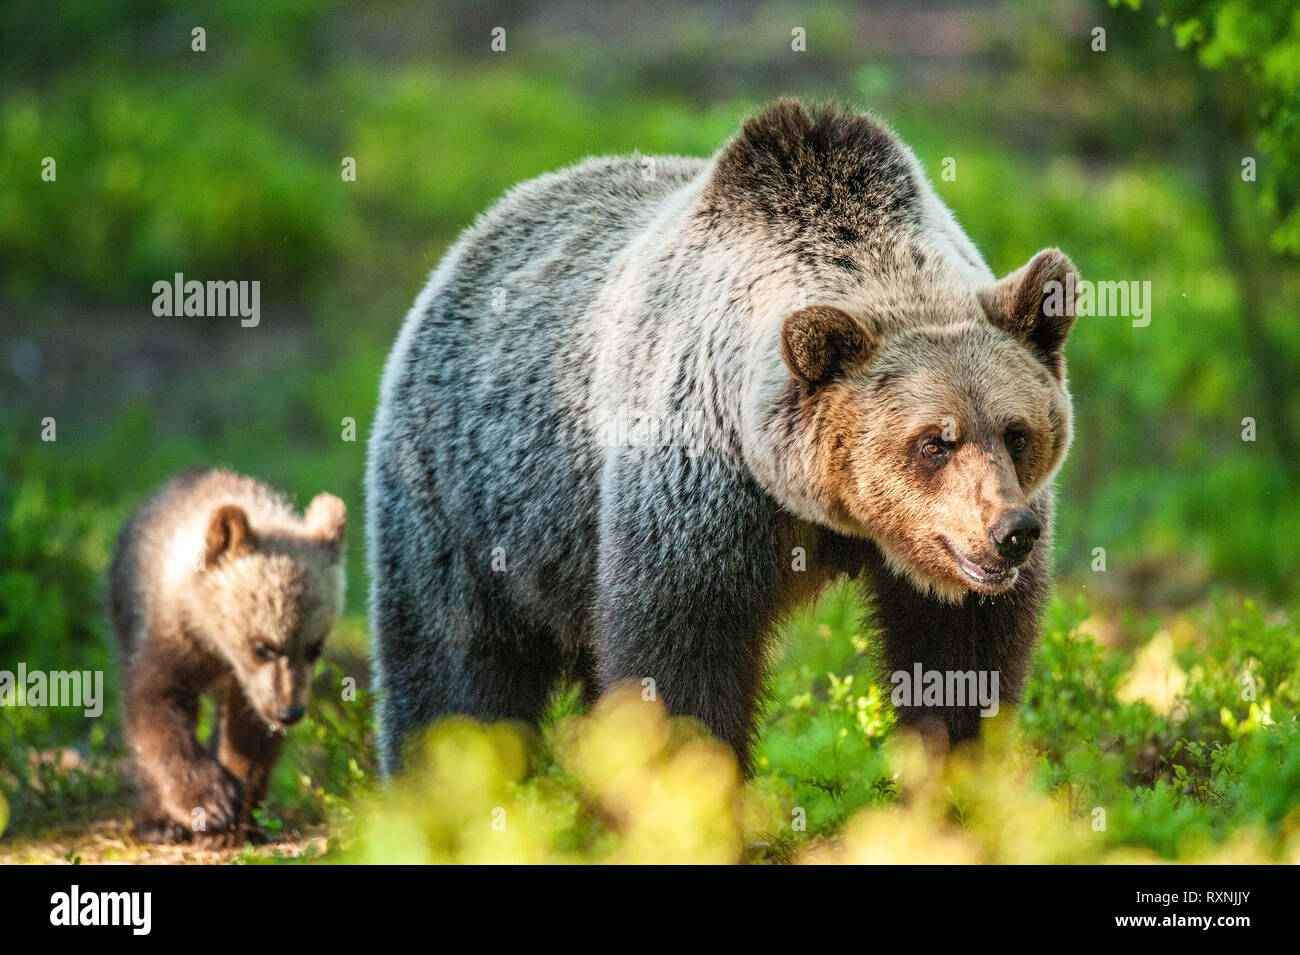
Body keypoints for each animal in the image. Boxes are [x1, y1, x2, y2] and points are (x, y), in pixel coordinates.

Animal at [109, 468, 347, 843]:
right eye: (261, 646)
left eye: (316, 646)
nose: (289, 712)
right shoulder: (170, 637)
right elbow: (156, 708)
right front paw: (210, 803)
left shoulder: (250, 689)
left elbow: (247, 735)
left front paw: (237, 822)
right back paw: (158, 823)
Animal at [366, 98, 1076, 774]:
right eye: (933, 442)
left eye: (1016, 433)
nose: (1010, 531)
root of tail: (482, 228)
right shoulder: (698, 488)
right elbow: (679, 656)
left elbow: (961, 659)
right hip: (469, 501)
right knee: (454, 668)